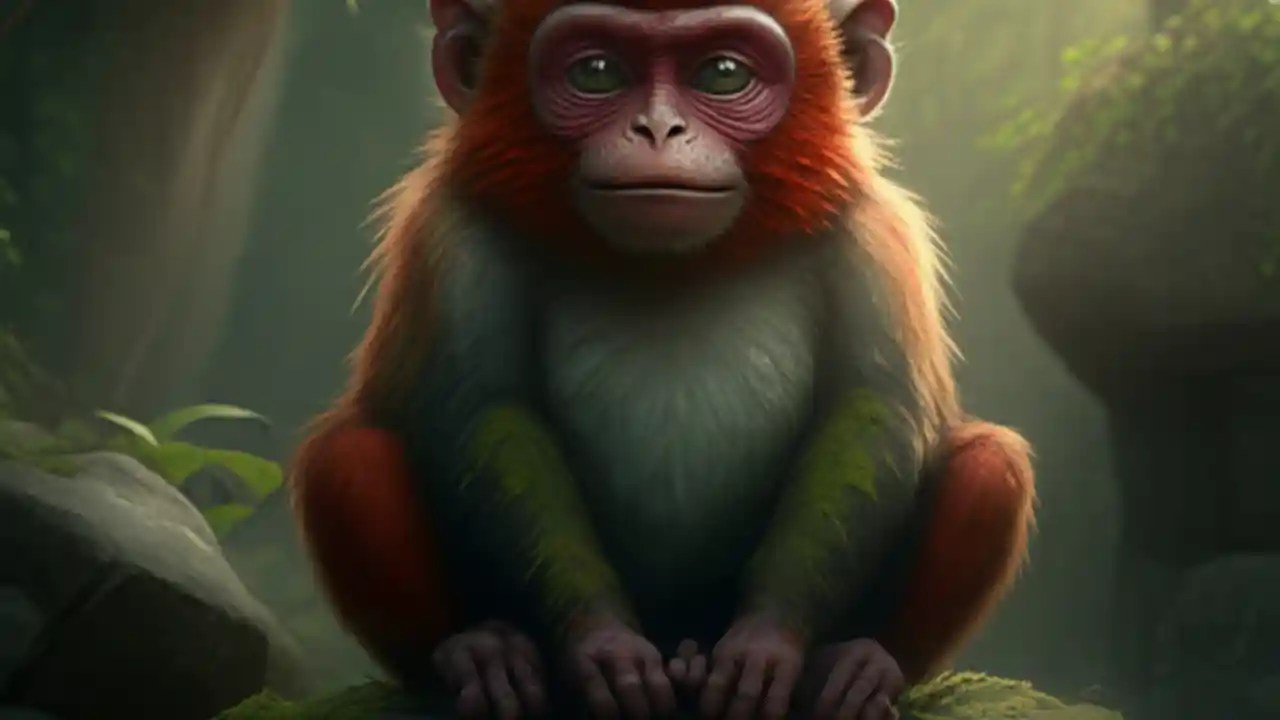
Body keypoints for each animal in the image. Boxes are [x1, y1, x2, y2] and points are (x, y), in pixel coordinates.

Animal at [290, 0, 1036, 718]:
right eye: (595, 72)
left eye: (723, 75)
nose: (658, 131)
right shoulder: (452, 228)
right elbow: (484, 411)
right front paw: (601, 644)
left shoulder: (873, 229)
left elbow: (873, 410)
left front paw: (769, 642)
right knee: (346, 455)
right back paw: (475, 652)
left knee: (990, 464)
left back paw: (861, 663)